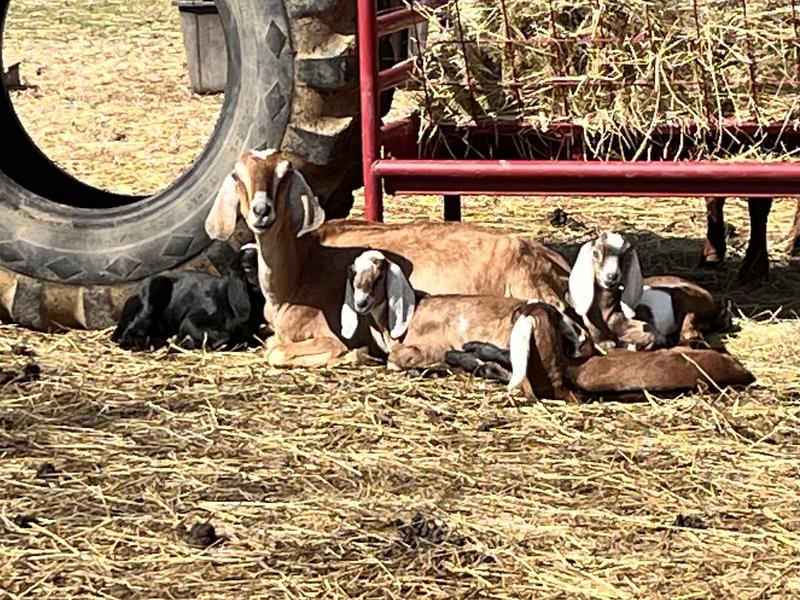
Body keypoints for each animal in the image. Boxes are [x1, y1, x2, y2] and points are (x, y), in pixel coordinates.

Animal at [111, 244, 264, 351]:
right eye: (247, 267)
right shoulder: (190, 321)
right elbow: (224, 336)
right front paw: (183, 341)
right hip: (152, 292)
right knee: (126, 336)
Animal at [203, 148, 572, 367]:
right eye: (237, 175)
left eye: (286, 173)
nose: (261, 211)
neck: (296, 276)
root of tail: (550, 261)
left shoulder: (330, 333)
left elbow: (277, 352)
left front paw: (356, 356)